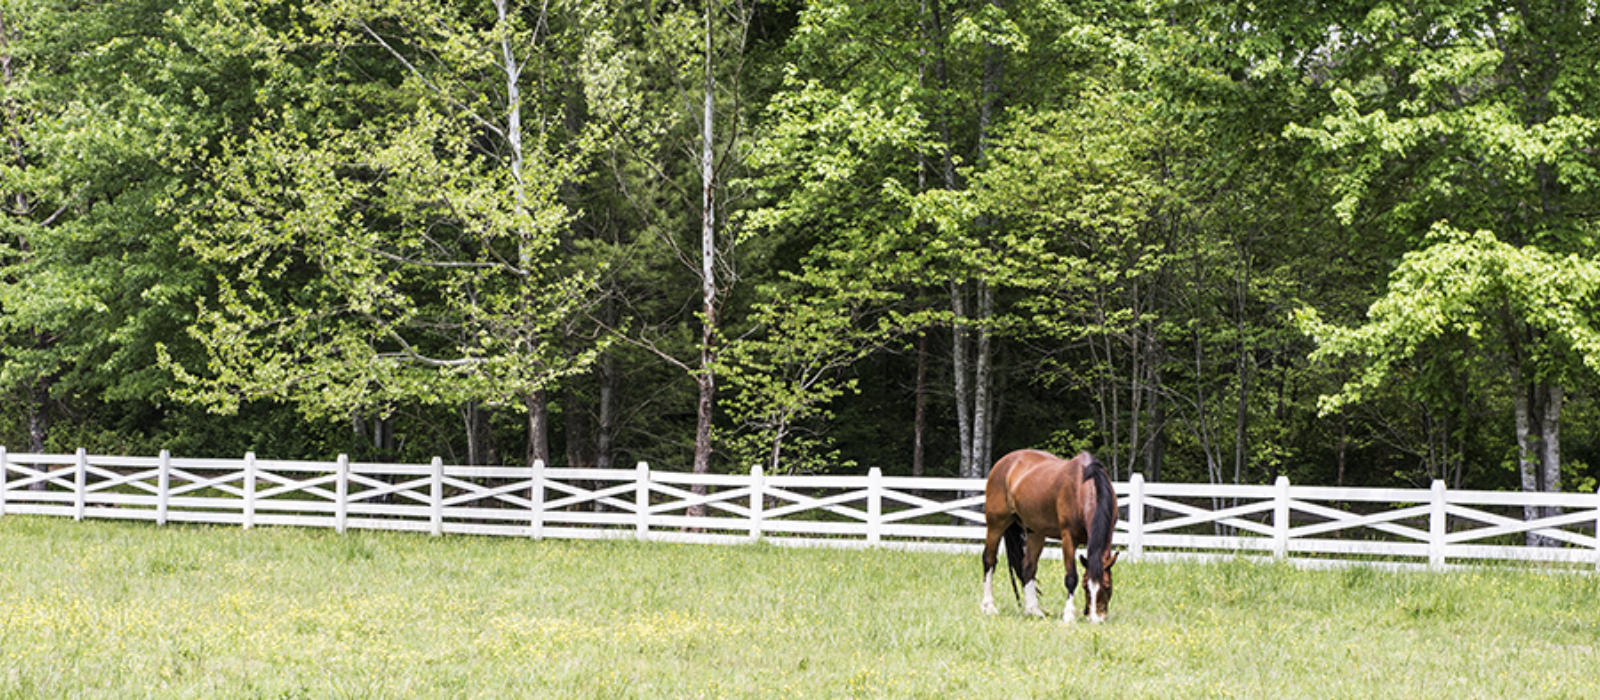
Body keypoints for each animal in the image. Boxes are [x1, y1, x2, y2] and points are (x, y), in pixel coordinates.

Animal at [979, 449, 1120, 623]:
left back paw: (1033, 610)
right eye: (1085, 586)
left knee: (1028, 567)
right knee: (989, 560)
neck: (1083, 486)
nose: (1096, 618)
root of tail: (1003, 462)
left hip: (1035, 532)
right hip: (996, 524)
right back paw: (988, 606)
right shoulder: (1068, 538)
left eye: (1107, 586)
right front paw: (1068, 615)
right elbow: (1071, 577)